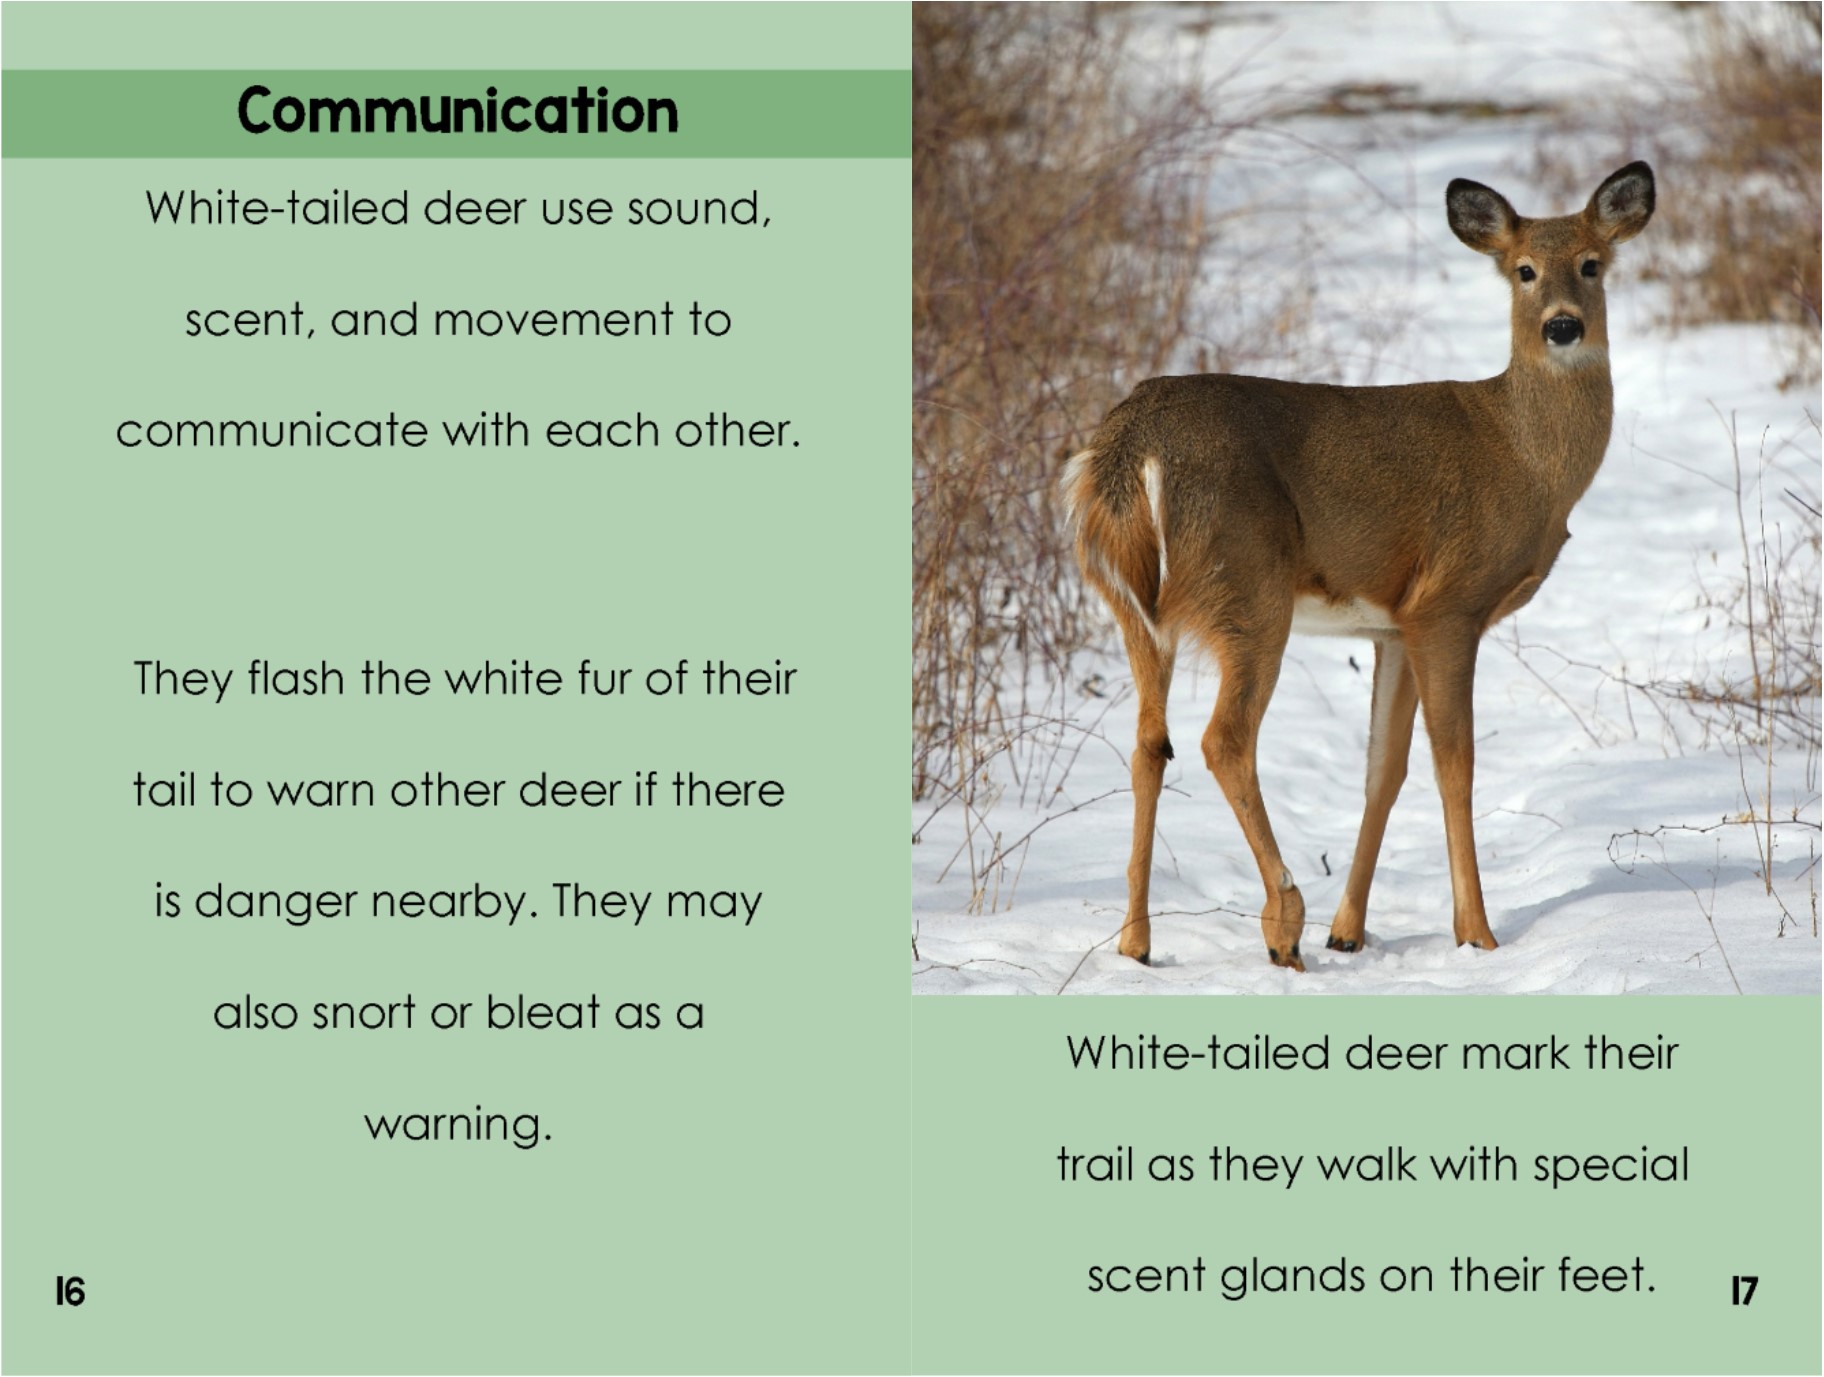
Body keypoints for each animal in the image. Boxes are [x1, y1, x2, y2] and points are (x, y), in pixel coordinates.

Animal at [1062, 162, 1655, 971]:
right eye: (1524, 270)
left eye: (1592, 264)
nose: (1563, 325)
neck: (1525, 459)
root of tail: (1129, 450)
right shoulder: (1448, 603)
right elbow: (1455, 763)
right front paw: (1477, 934)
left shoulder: (1393, 626)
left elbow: (1385, 768)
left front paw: (1350, 931)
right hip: (1247, 586)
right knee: (1224, 738)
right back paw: (1282, 922)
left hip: (1133, 605)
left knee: (1150, 745)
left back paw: (1136, 943)